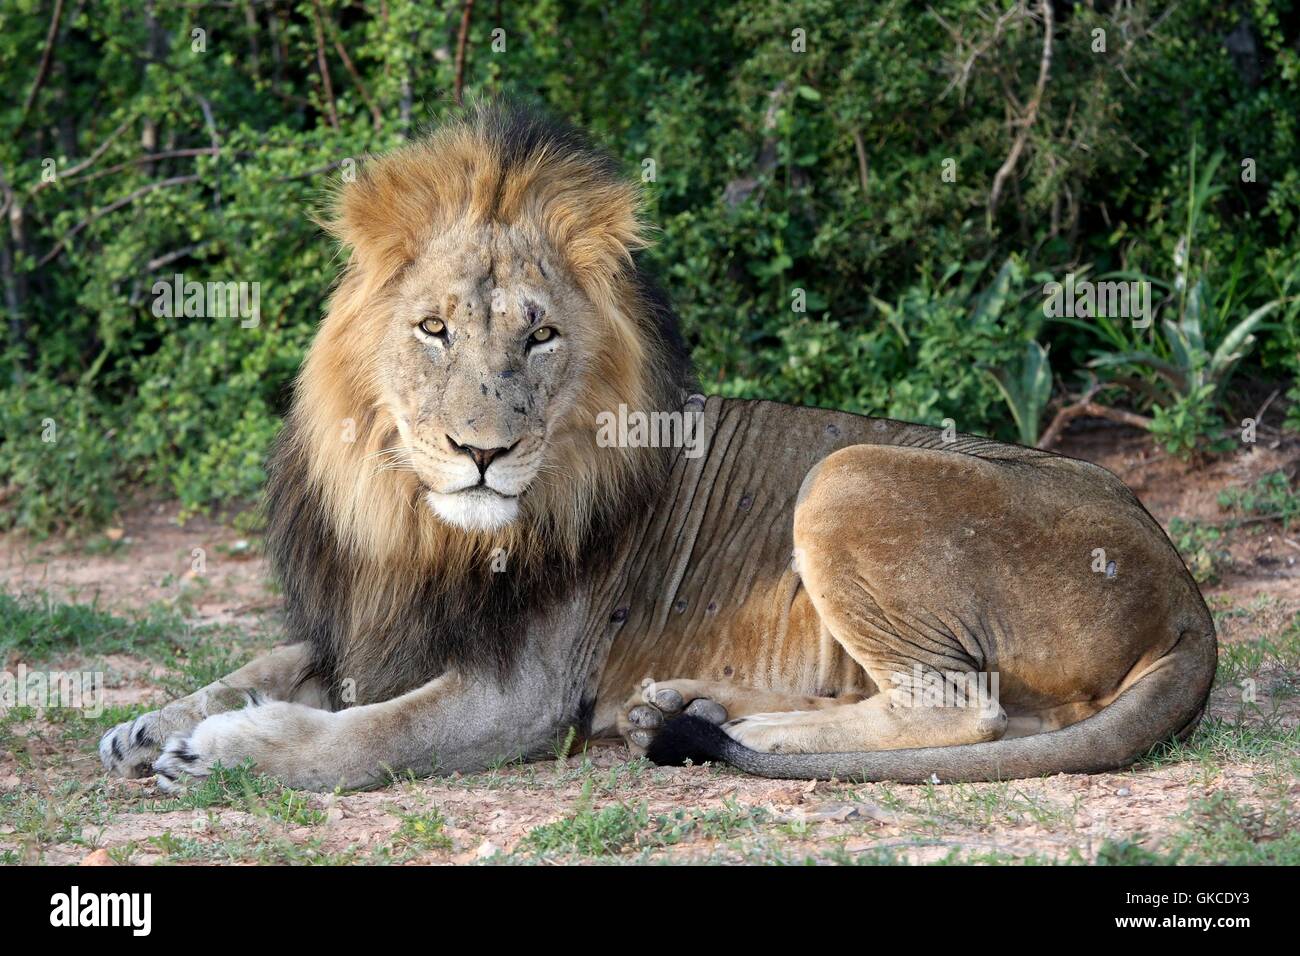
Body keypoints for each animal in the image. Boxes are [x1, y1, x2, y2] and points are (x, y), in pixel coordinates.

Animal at [99, 103, 1216, 791]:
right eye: (434, 329)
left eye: (541, 335)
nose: (480, 452)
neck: (418, 524)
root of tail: (1185, 594)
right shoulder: (370, 625)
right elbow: (263, 659)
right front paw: (148, 722)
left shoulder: (521, 695)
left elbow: (371, 734)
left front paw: (223, 749)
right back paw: (685, 704)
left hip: (846, 474)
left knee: (964, 707)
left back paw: (744, 730)